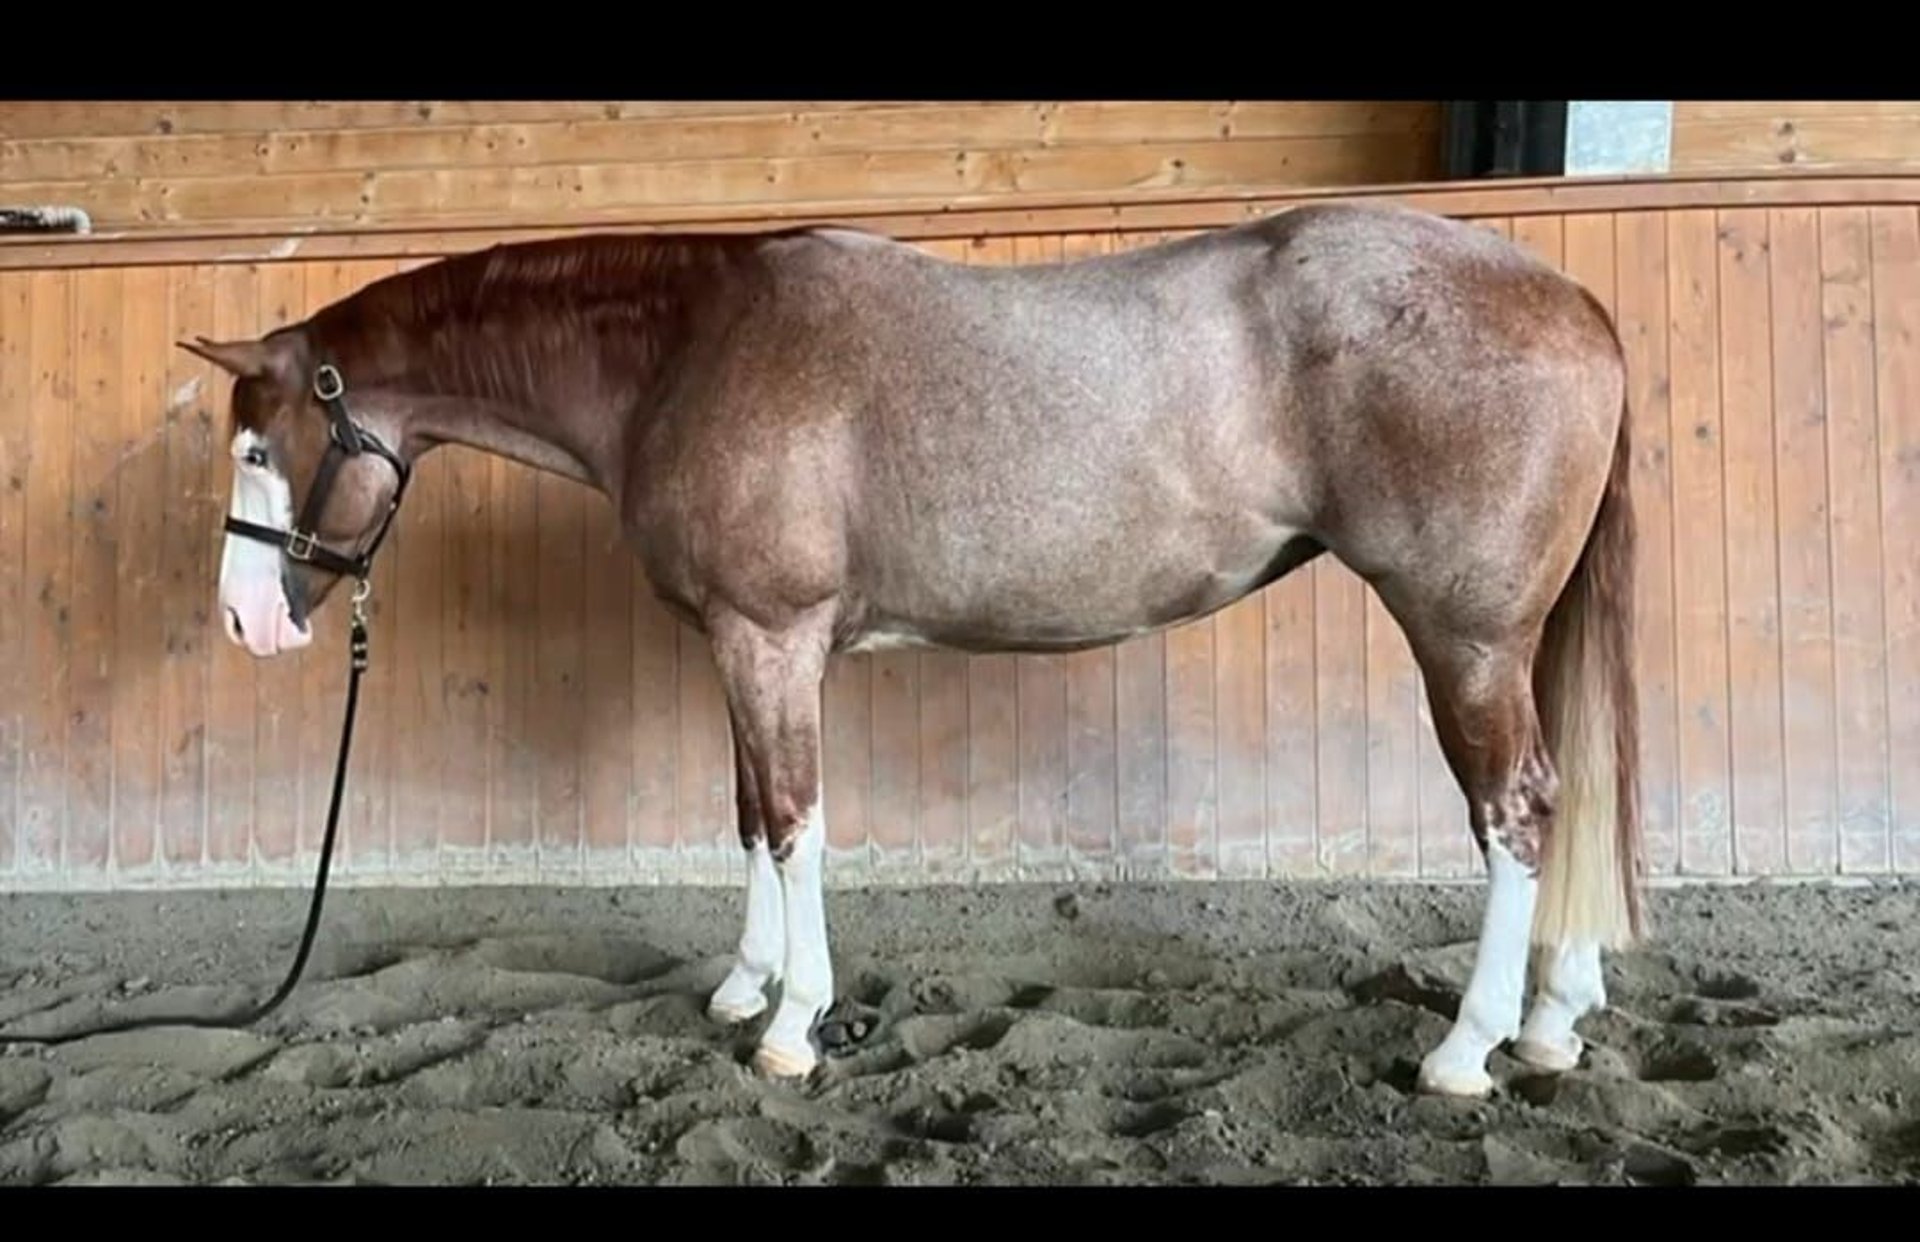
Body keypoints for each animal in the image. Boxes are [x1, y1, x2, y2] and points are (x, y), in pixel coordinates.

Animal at [179, 197, 1643, 1099]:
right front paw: (747, 986)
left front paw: (791, 1030)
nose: (245, 622)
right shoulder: (748, 647)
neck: (687, 352)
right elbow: (748, 814)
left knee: (1517, 814)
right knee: (1562, 804)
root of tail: (1574, 296)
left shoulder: (770, 639)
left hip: (1466, 639)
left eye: (257, 446)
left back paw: (1467, 1048)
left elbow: (791, 819)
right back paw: (1555, 1022)